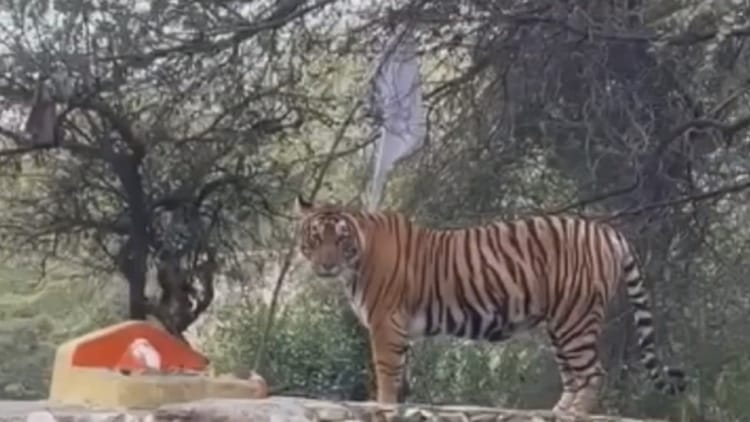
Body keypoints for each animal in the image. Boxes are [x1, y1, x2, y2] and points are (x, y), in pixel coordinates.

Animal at [294, 196, 686, 414]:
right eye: (316, 238)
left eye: (340, 239)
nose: (326, 265)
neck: (356, 262)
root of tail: (605, 230)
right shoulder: (399, 330)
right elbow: (402, 374)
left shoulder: (385, 324)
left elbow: (386, 373)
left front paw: (384, 406)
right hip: (561, 324)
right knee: (574, 376)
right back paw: (555, 412)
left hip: (574, 319)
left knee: (592, 373)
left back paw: (572, 415)